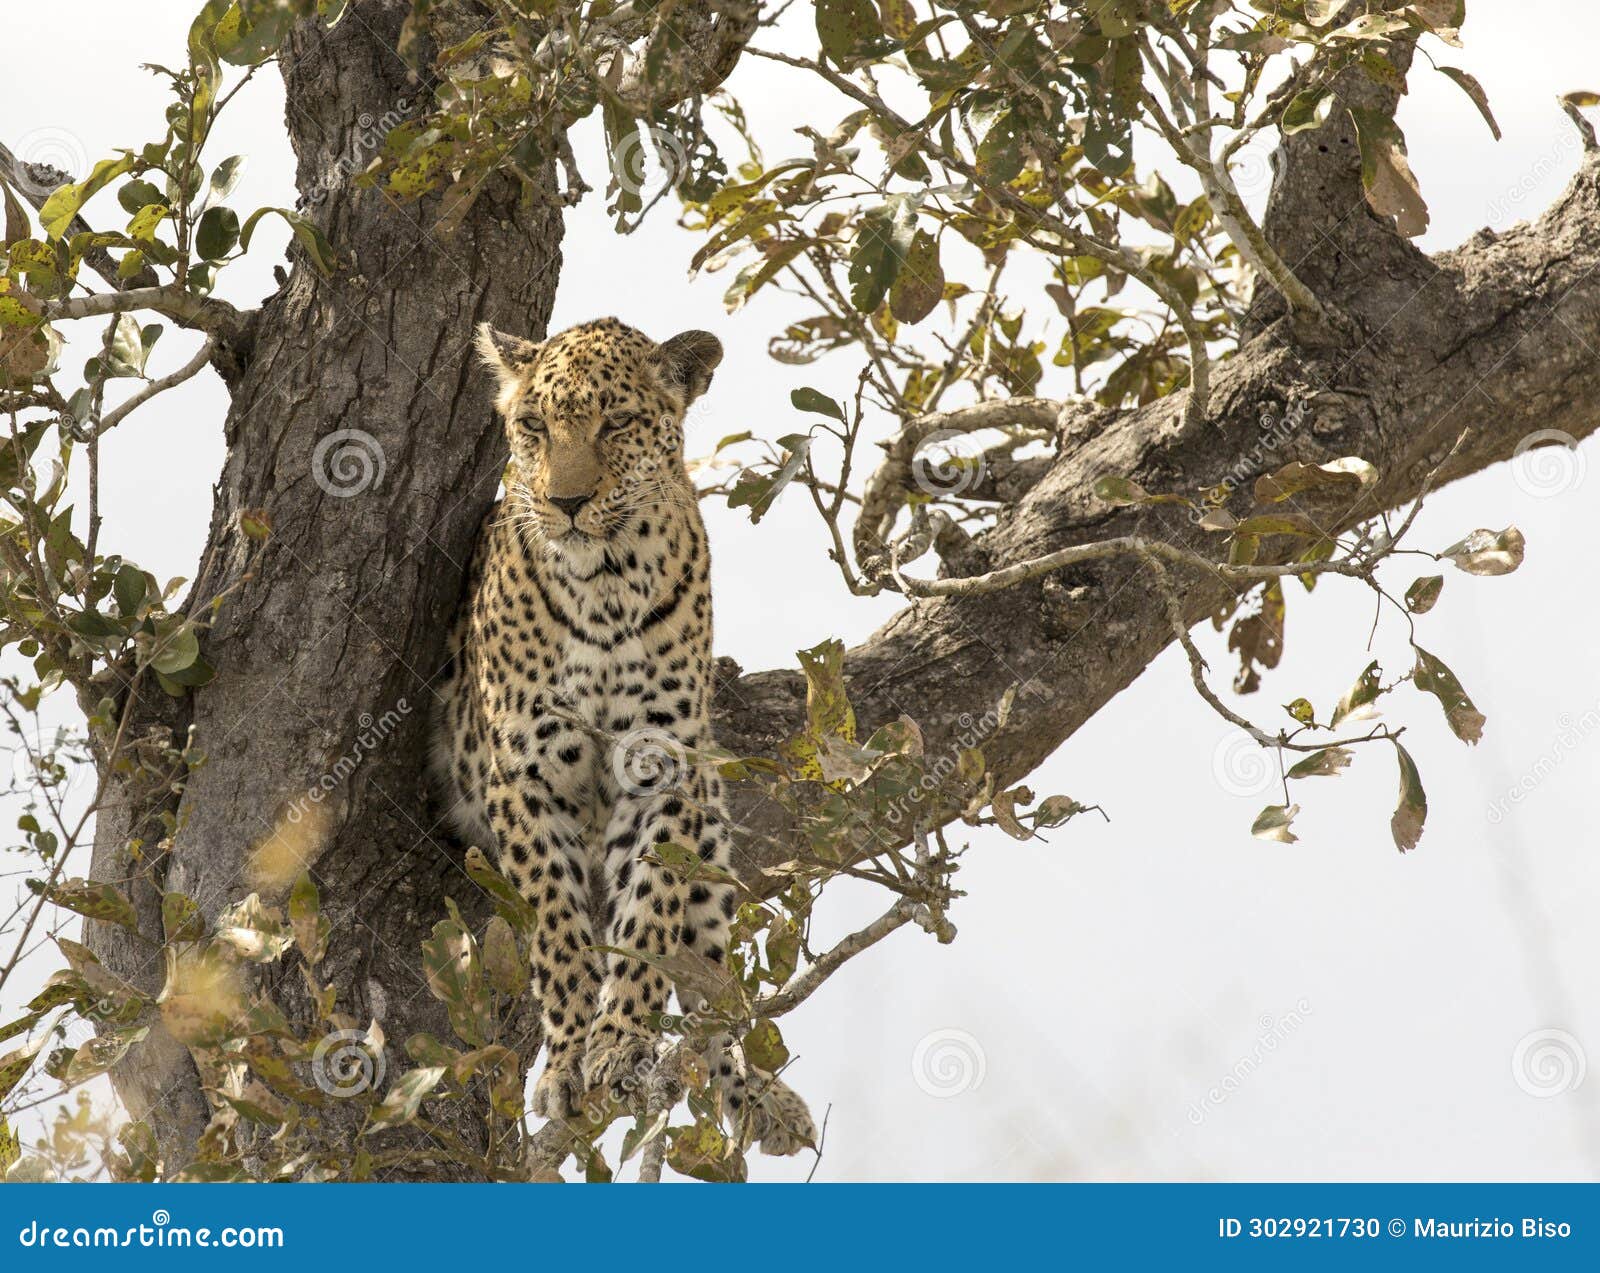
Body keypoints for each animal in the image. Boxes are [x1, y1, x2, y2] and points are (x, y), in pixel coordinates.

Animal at [430, 316, 813, 1157]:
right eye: (533, 426)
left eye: (617, 423)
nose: (567, 501)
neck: (602, 584)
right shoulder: (526, 774)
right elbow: (560, 932)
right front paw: (570, 1055)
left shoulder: (663, 767)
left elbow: (649, 912)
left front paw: (616, 1039)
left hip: (711, 824)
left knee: (713, 993)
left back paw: (761, 1096)